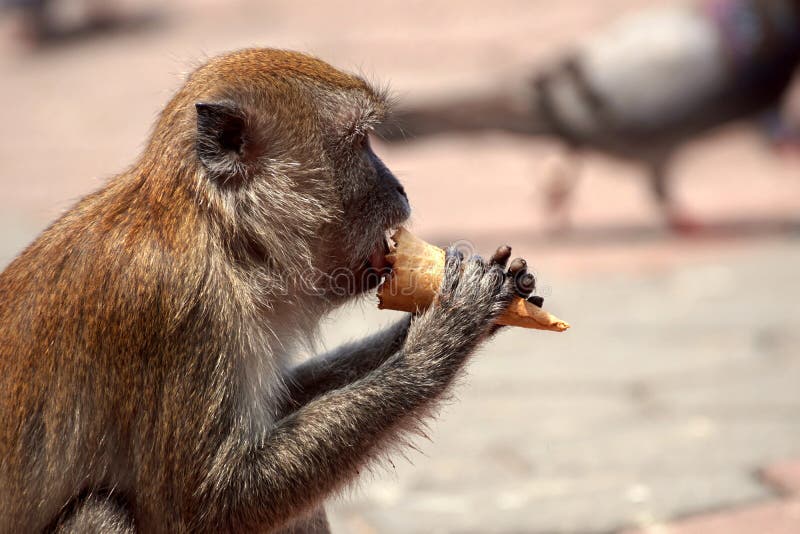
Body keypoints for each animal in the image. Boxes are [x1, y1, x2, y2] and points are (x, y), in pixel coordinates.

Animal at [0, 48, 537, 532]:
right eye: (360, 141)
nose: (401, 188)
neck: (223, 233)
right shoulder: (175, 303)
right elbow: (208, 503)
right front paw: (447, 331)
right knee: (103, 511)